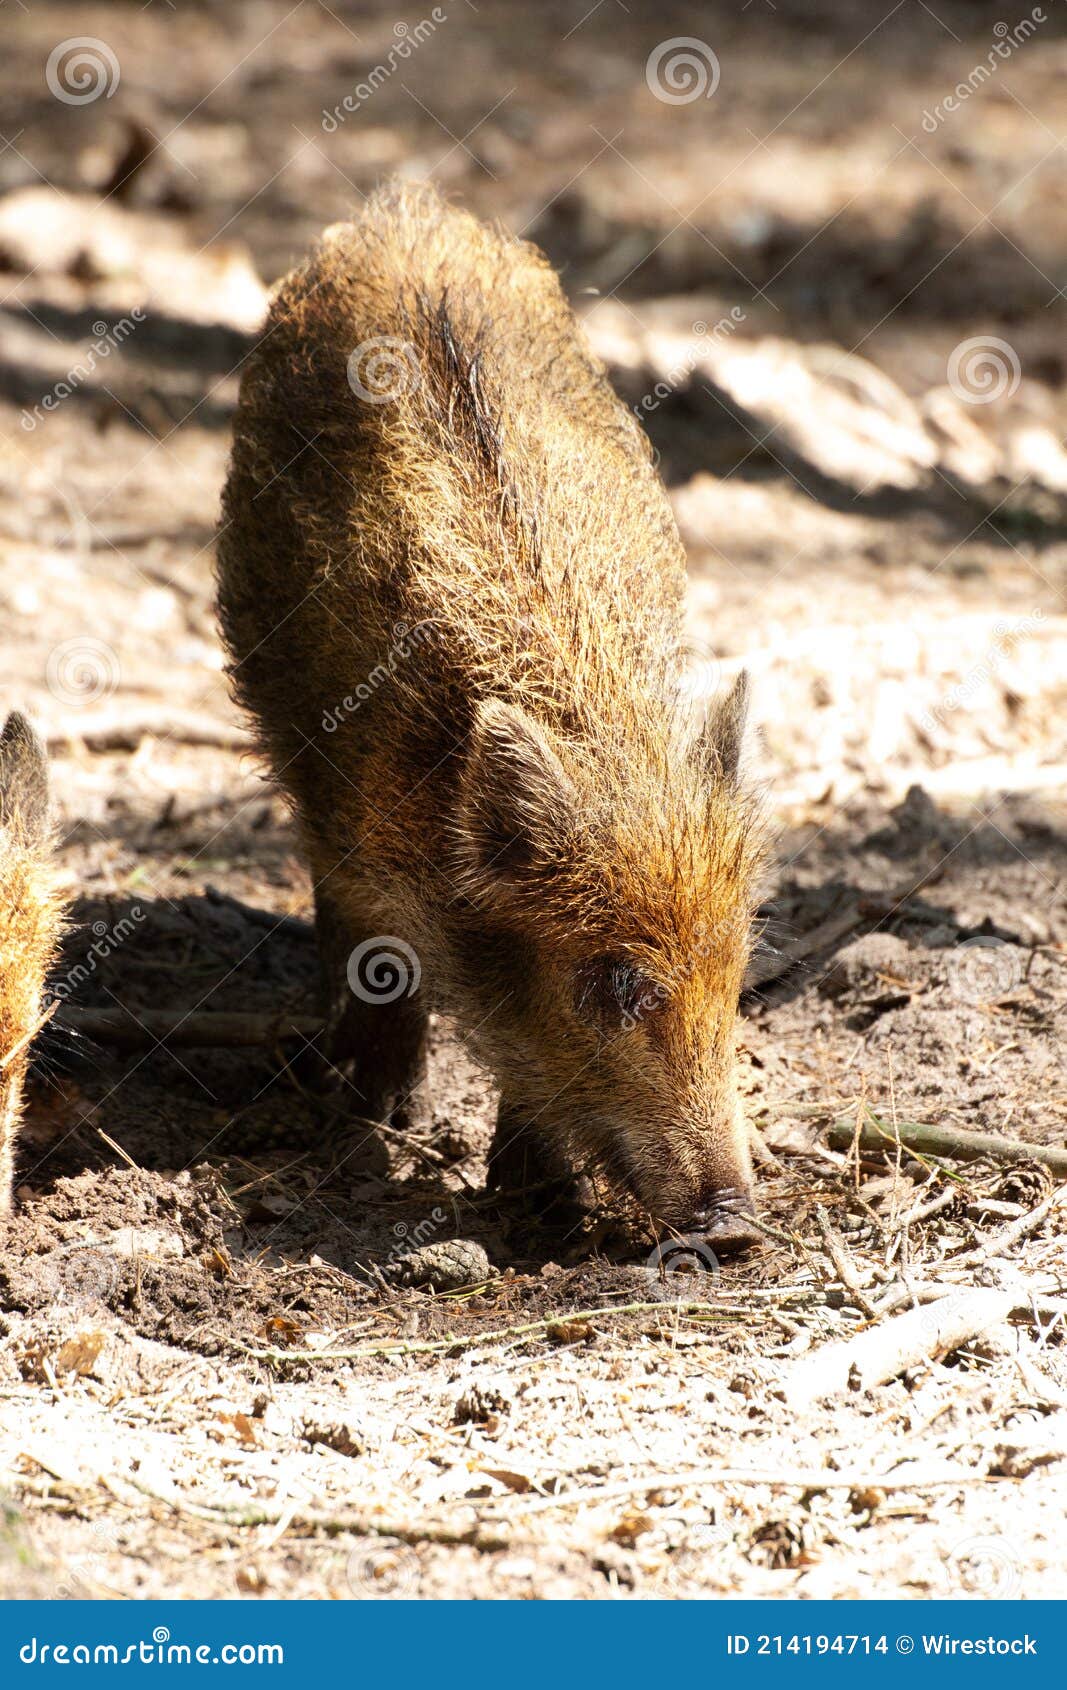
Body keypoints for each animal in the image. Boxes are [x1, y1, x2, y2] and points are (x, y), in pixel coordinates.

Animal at [216, 183, 767, 1246]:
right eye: (613, 983)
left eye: (736, 977)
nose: (733, 1222)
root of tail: (406, 207)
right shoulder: (352, 817)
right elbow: (386, 956)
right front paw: (387, 1121)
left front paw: (534, 1201)